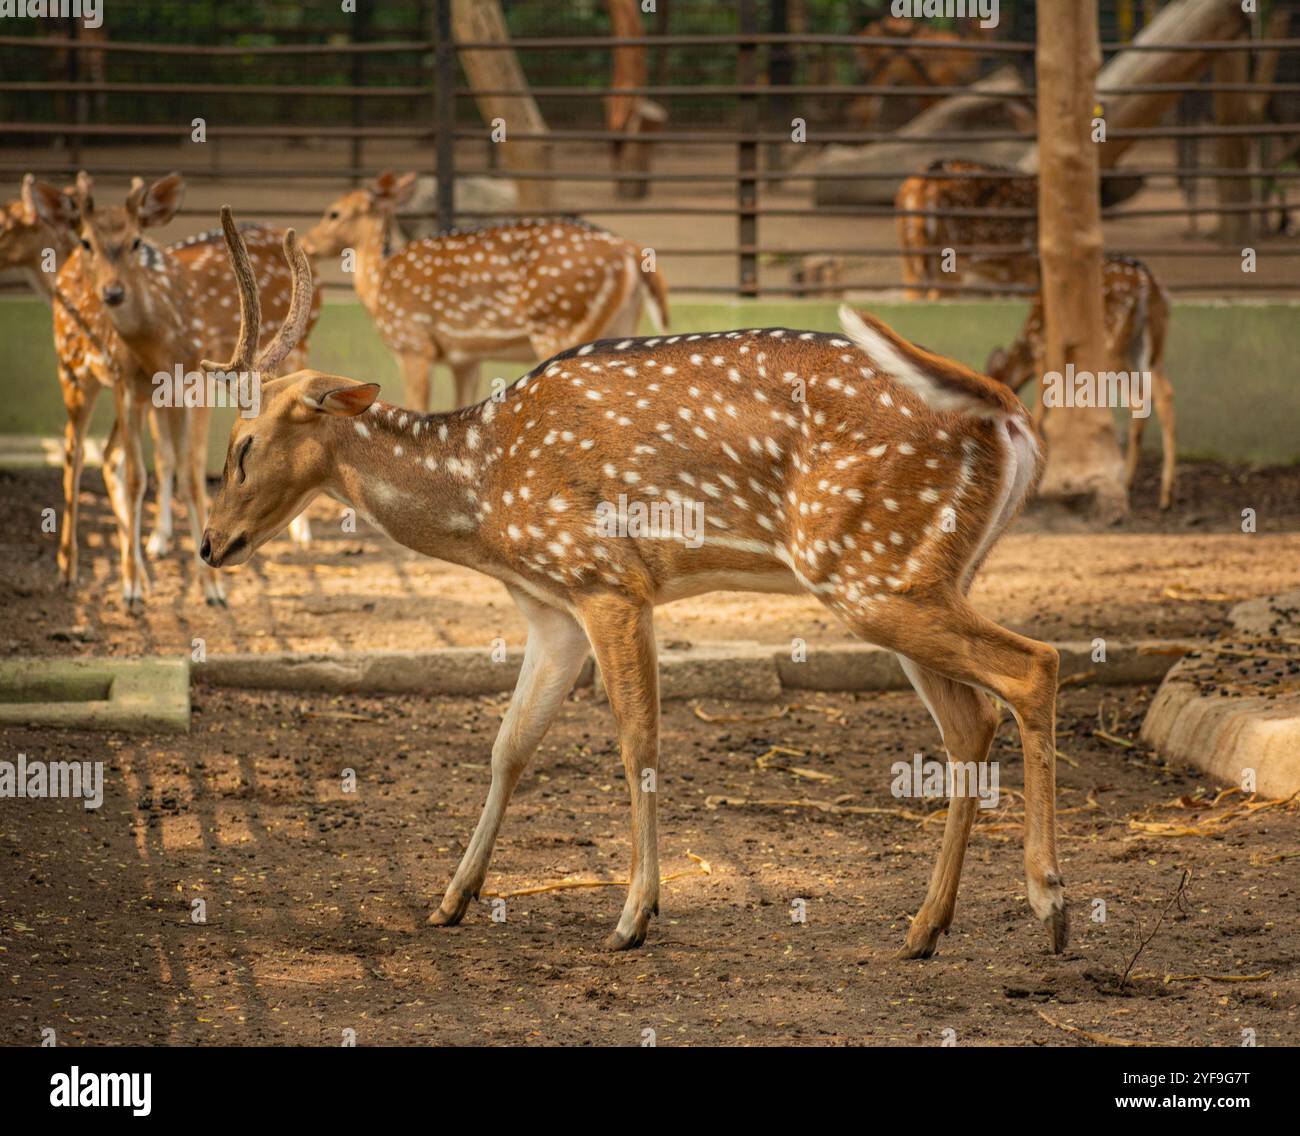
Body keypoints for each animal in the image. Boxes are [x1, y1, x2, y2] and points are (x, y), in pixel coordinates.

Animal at [22, 174, 321, 595]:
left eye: (136, 241)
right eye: (86, 241)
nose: (112, 293)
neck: (158, 338)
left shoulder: (192, 385)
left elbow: (189, 472)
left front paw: (211, 588)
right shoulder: (129, 382)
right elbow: (141, 472)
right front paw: (133, 585)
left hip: (299, 348)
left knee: (114, 454)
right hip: (73, 371)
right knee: (77, 453)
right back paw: (73, 567)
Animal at [200, 206, 1067, 959]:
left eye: (244, 444)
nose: (210, 544)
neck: (484, 498)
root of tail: (1012, 417)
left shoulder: (605, 579)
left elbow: (636, 739)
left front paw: (633, 916)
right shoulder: (549, 608)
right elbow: (509, 744)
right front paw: (451, 899)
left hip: (873, 569)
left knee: (1035, 665)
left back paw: (1049, 902)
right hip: (917, 570)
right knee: (971, 720)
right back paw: (924, 927)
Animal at [300, 170, 669, 411]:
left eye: (333, 213)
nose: (306, 242)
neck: (378, 286)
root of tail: (631, 250)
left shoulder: (413, 343)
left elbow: (417, 406)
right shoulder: (465, 357)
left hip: (561, 321)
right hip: (621, 321)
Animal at [986, 255, 1176, 509]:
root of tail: (1150, 285)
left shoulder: (1044, 355)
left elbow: (1042, 408)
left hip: (1112, 345)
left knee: (1139, 399)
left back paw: (1130, 484)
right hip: (1152, 345)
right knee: (1164, 391)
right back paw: (1162, 493)